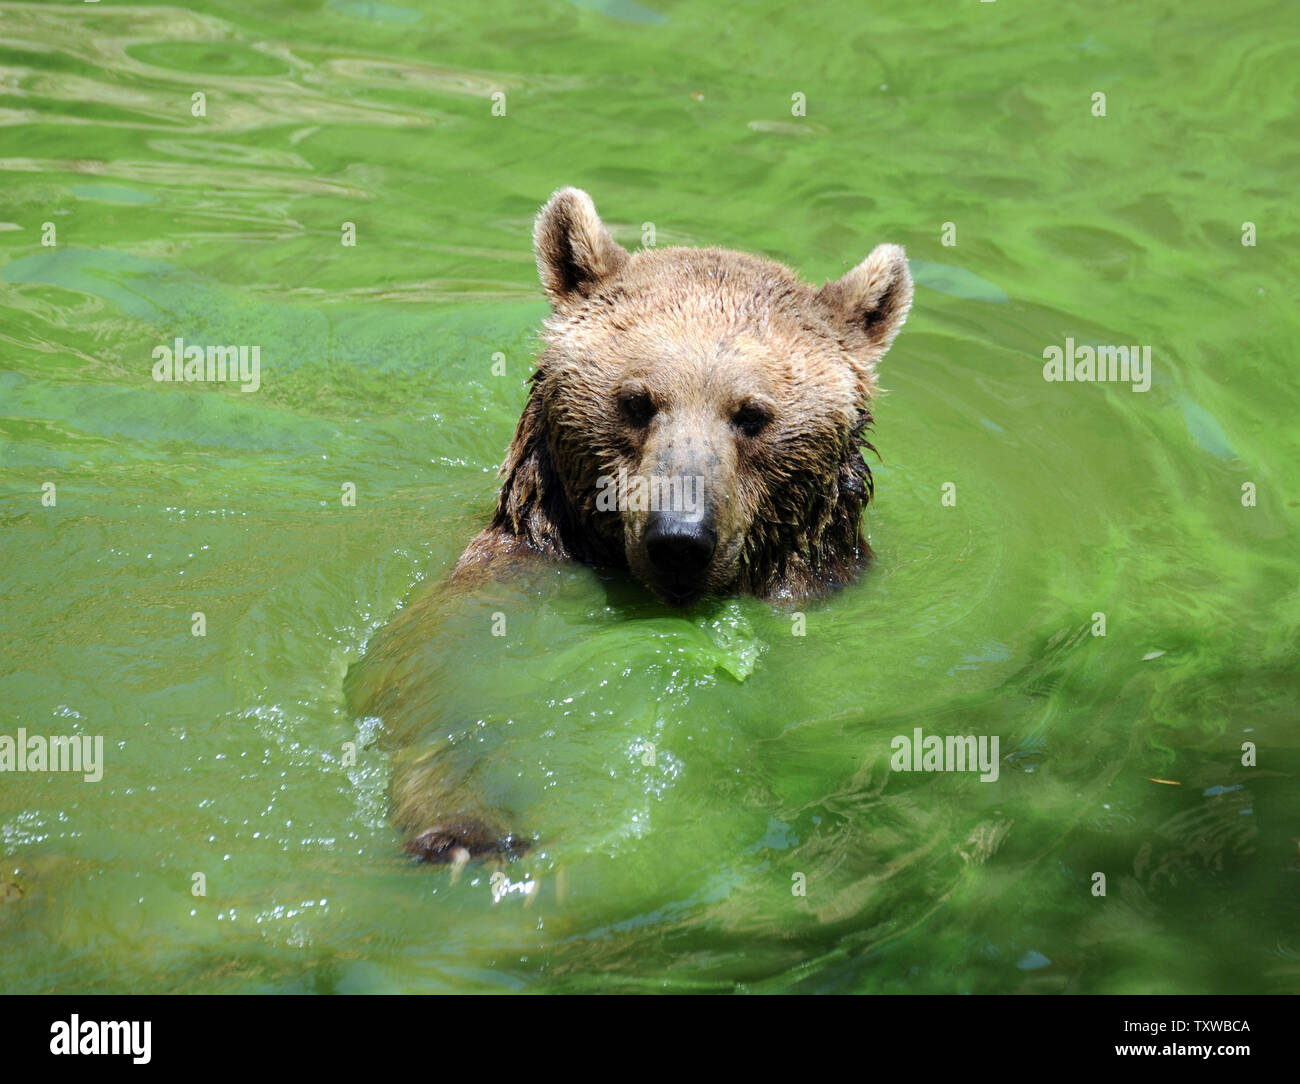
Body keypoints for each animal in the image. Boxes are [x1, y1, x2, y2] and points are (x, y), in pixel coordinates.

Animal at [353, 187, 913, 865]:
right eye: (637, 400)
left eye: (752, 414)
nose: (679, 541)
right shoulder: (522, 563)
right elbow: (434, 670)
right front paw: (463, 828)